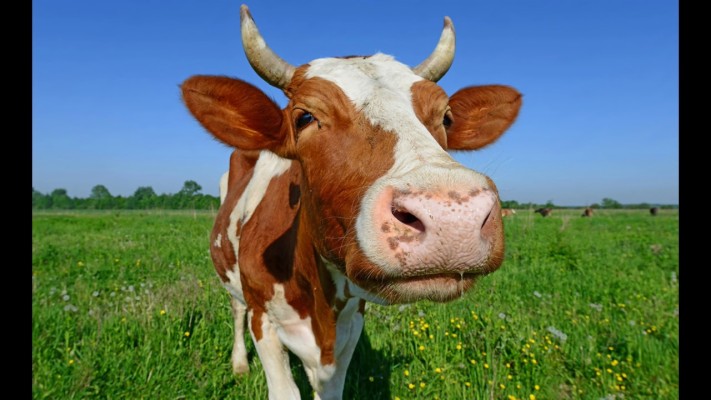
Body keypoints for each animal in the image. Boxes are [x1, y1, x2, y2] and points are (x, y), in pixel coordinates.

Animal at [180, 5, 522, 399]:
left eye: (446, 117)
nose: (453, 214)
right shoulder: (263, 318)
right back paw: (238, 364)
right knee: (235, 311)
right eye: (305, 116)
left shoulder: (351, 324)